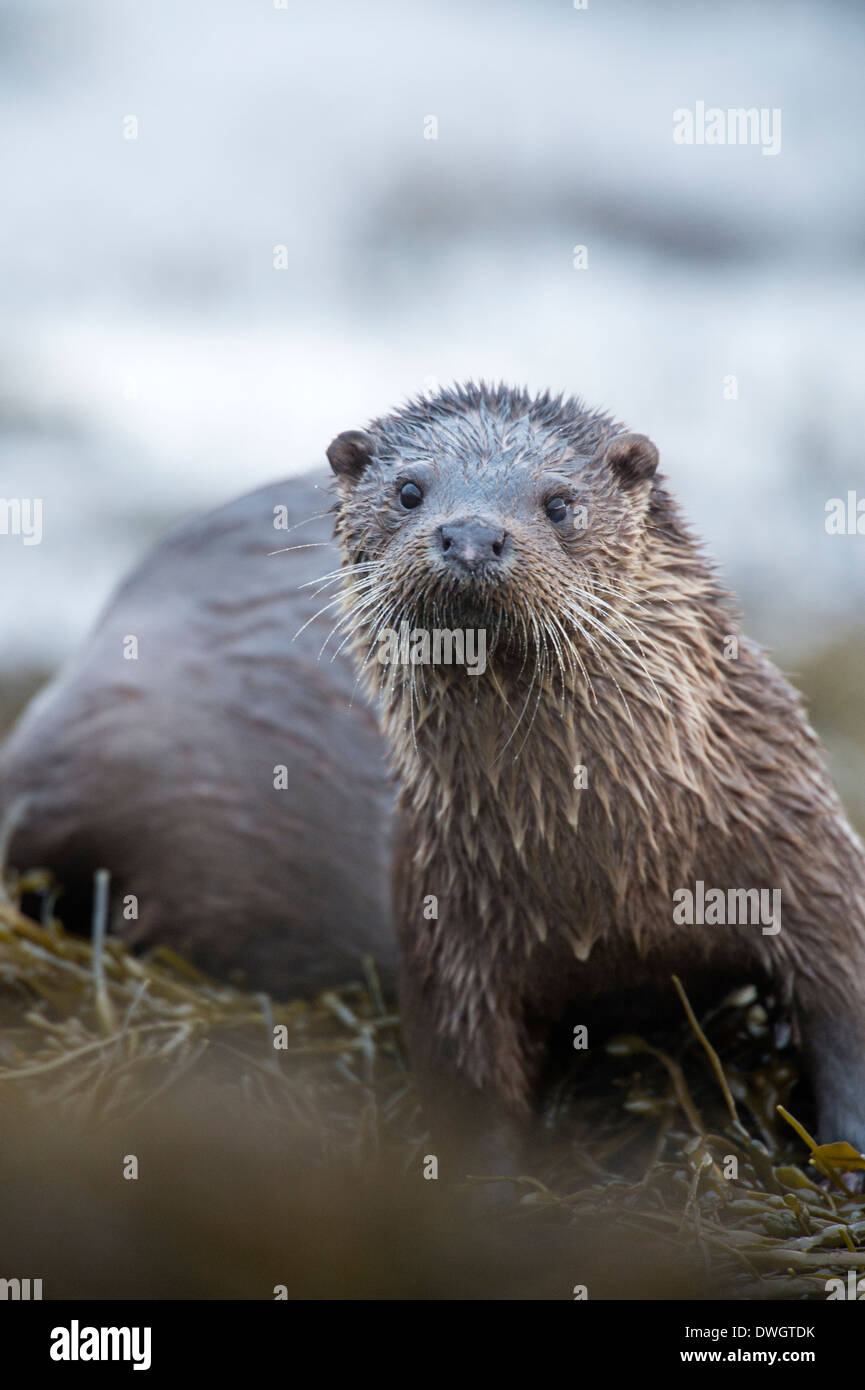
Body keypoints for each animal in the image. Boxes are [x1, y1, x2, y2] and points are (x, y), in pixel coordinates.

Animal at [327, 381, 865, 1169]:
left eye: (559, 503)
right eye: (407, 491)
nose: (470, 536)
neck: (604, 866)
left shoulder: (810, 859)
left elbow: (846, 1014)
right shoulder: (443, 935)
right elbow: (468, 1091)